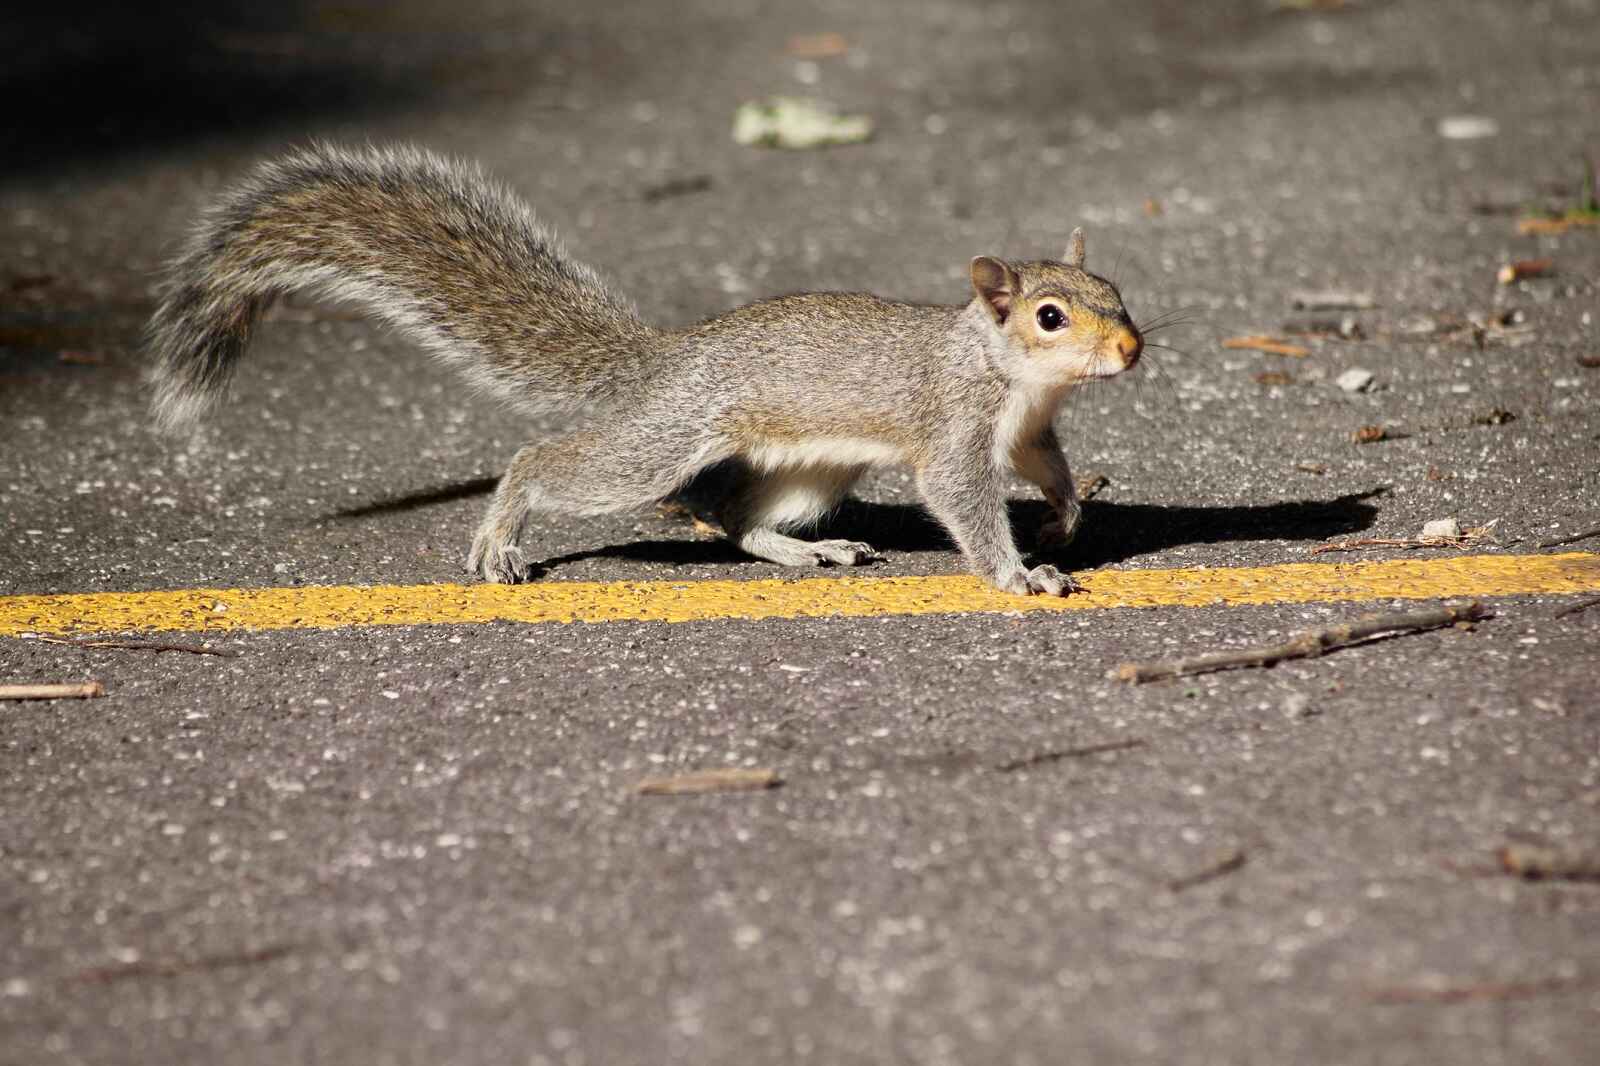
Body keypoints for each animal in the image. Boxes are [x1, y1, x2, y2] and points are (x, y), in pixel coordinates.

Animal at [147, 143, 1142, 597]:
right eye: (1050, 317)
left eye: (1117, 291)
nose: (1132, 350)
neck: (1003, 366)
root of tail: (669, 357)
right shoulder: (952, 429)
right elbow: (964, 502)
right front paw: (1021, 574)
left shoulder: (1031, 429)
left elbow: (1047, 471)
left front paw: (1065, 516)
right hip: (664, 443)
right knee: (550, 464)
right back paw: (502, 533)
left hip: (812, 471)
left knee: (736, 519)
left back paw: (808, 546)